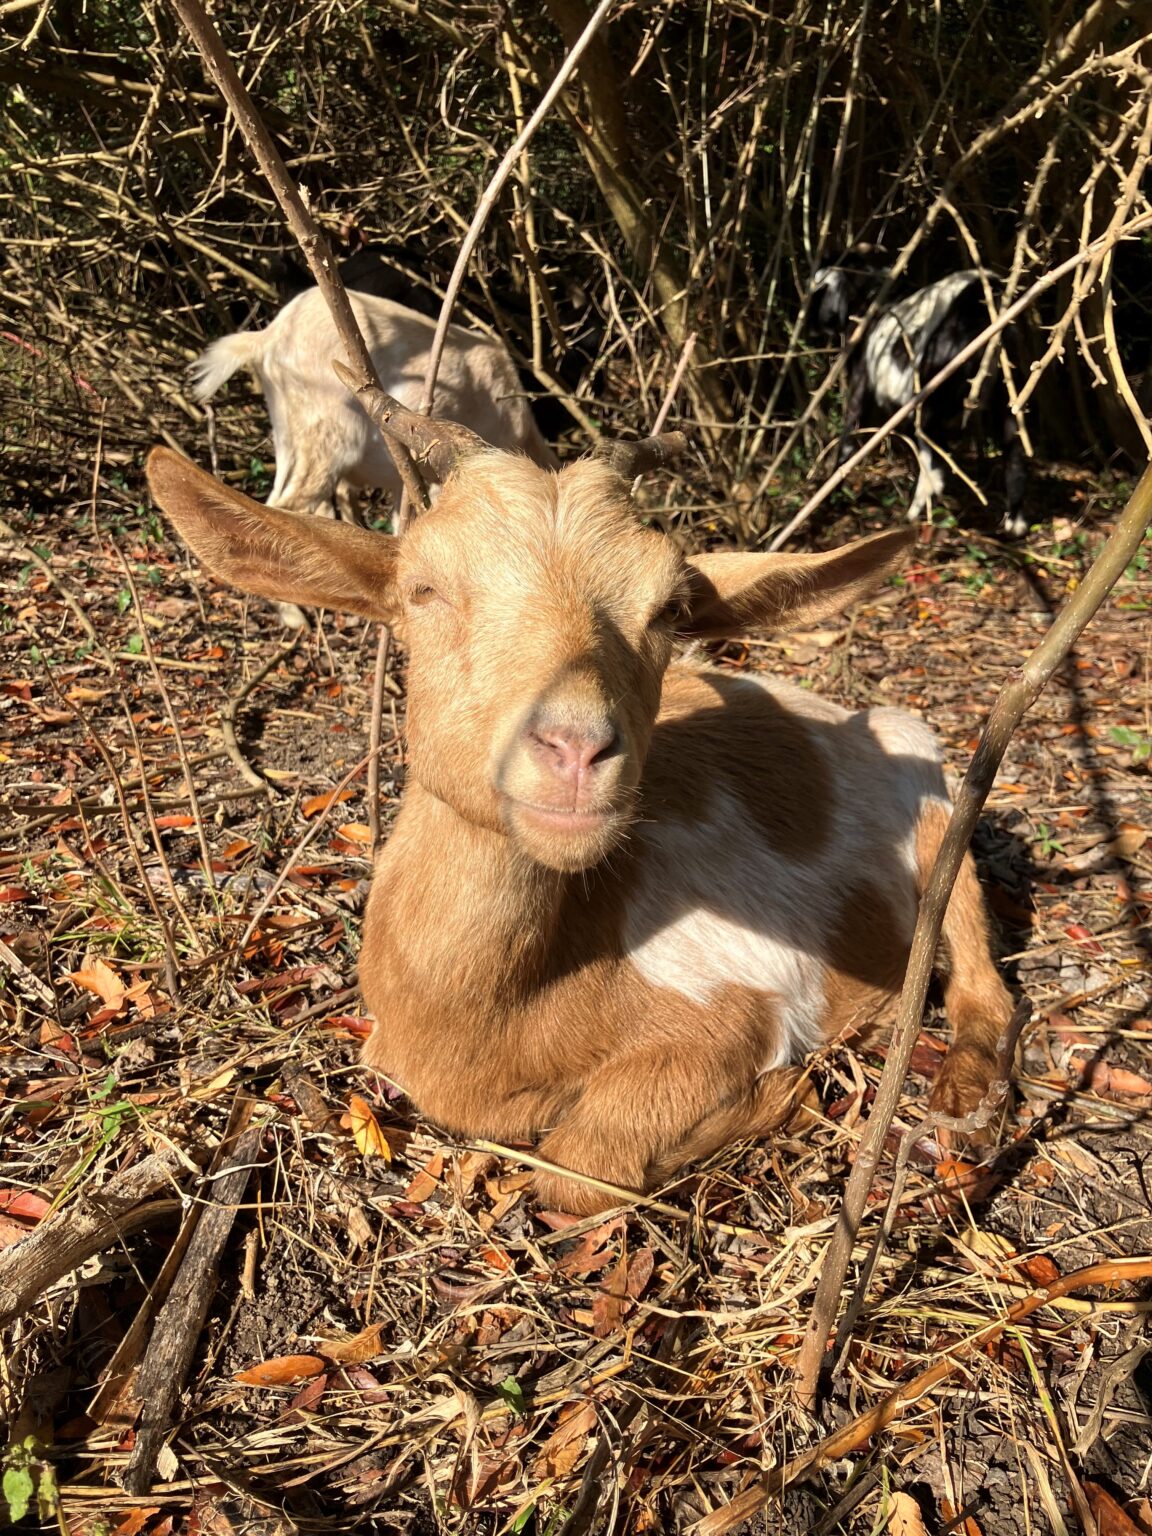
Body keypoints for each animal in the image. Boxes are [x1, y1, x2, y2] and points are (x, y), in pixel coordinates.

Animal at [146, 421, 1014, 1216]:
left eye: (669, 608)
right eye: (424, 589)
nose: (576, 747)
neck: (492, 1022)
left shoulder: (736, 1007)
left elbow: (581, 1166)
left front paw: (784, 1094)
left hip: (940, 806)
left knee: (984, 983)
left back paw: (958, 1100)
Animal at [808, 254, 1028, 536]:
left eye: (817, 294)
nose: (810, 328)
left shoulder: (860, 379)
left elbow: (850, 431)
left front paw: (834, 489)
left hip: (929, 402)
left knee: (935, 469)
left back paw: (914, 517)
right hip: (1010, 394)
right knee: (1015, 455)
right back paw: (1015, 524)